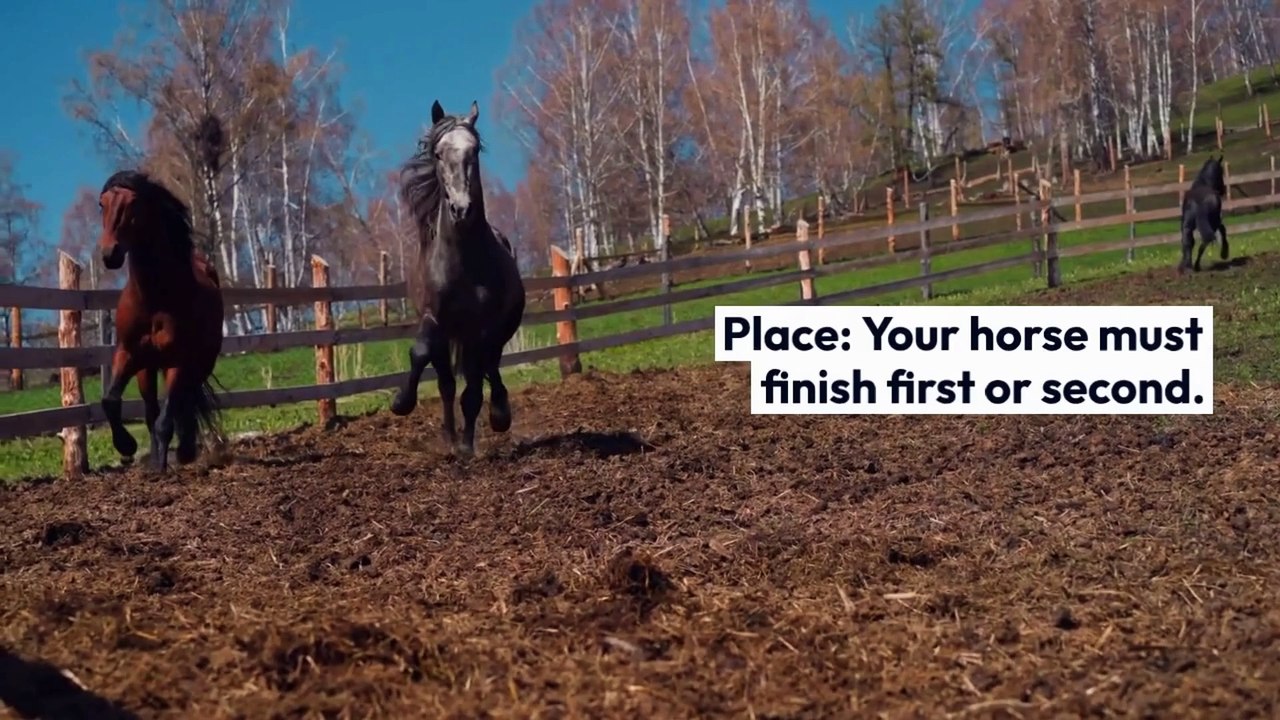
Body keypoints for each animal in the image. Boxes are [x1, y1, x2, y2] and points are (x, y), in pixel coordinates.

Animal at [97, 169, 226, 472]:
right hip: (149, 368)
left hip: (198, 364)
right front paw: (127, 446)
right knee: (152, 409)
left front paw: (163, 465)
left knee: (183, 402)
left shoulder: (179, 361)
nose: (110, 254)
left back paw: (185, 451)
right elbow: (110, 400)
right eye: (101, 204)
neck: (154, 299)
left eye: (133, 203)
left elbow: (166, 421)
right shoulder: (129, 354)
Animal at [389, 99, 526, 457]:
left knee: (488, 369)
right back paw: (450, 437)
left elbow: (475, 387)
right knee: (447, 383)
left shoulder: (482, 329)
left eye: (474, 150)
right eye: (438, 153)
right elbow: (421, 354)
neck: (462, 263)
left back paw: (494, 418)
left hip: (495, 332)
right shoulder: (434, 319)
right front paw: (401, 402)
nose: (461, 209)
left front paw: (468, 444)